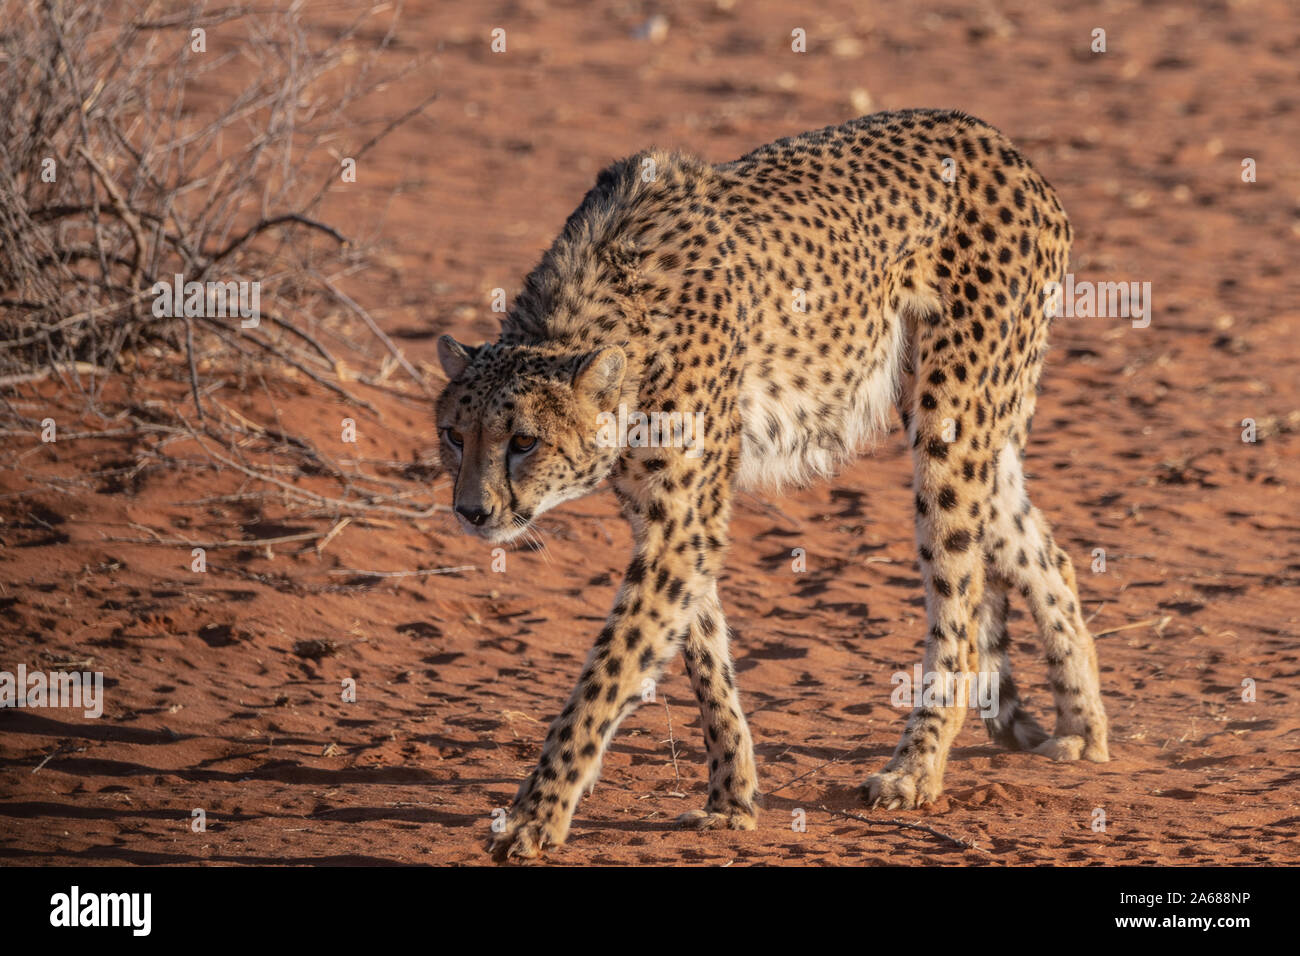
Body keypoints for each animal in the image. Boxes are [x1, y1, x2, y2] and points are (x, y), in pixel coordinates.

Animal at [434, 109, 1110, 862]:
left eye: (524, 441)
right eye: (455, 436)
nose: (473, 511)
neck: (606, 313)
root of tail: (997, 141)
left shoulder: (682, 521)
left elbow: (611, 669)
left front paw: (536, 814)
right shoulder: (666, 517)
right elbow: (702, 651)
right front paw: (733, 796)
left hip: (952, 425)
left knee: (960, 605)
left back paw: (916, 770)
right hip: (967, 420)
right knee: (1043, 551)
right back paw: (1082, 726)